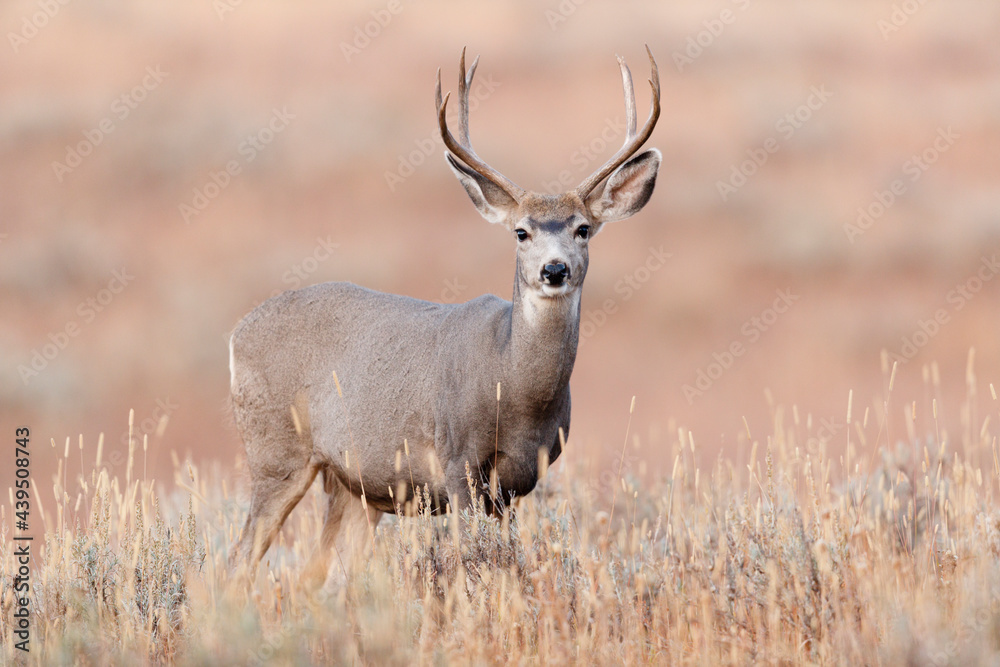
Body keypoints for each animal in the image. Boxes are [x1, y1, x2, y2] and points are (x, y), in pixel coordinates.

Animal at [229, 47, 661, 583]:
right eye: (521, 231)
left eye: (582, 228)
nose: (554, 269)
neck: (513, 385)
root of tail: (237, 333)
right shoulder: (458, 463)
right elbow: (465, 559)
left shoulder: (517, 484)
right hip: (275, 452)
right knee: (238, 560)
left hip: (352, 485)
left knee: (319, 571)